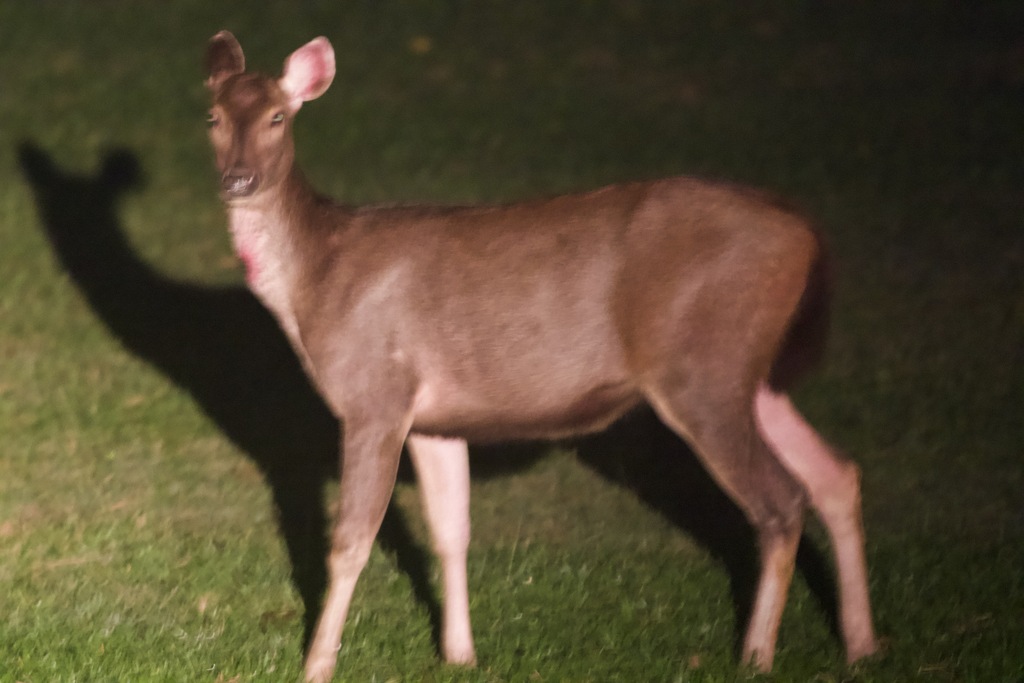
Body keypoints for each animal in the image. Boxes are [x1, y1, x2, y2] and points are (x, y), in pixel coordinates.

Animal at [203, 30, 878, 682]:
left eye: (278, 116)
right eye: (213, 116)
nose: (238, 180)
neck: (315, 279)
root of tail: (806, 233)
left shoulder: (375, 394)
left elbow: (349, 540)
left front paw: (316, 664)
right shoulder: (433, 419)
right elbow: (452, 529)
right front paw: (460, 654)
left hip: (700, 368)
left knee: (780, 501)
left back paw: (757, 655)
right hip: (748, 371)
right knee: (836, 473)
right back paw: (862, 644)